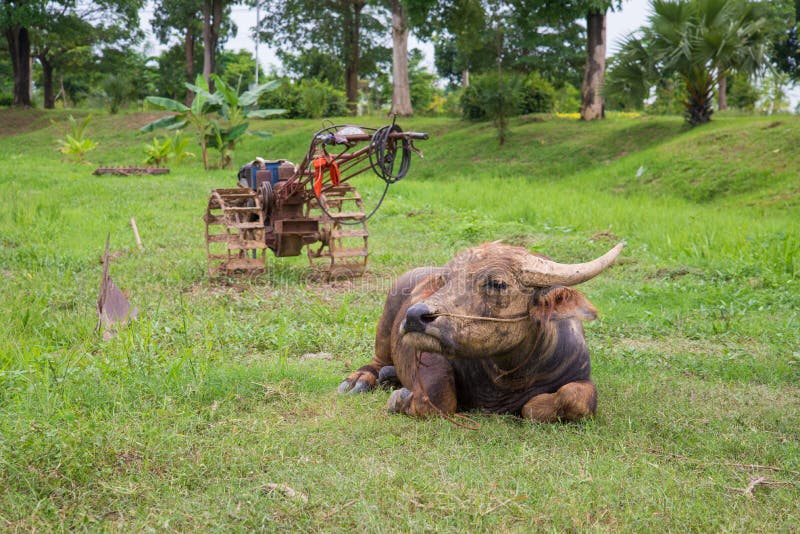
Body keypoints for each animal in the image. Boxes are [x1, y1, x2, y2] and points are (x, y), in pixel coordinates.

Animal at [339, 241, 624, 422]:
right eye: (445, 280)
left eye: (497, 283)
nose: (413, 316)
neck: (509, 374)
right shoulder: (430, 354)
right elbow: (439, 397)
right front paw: (400, 399)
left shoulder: (580, 375)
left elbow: (576, 399)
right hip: (386, 322)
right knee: (377, 359)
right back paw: (360, 380)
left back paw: (389, 376)